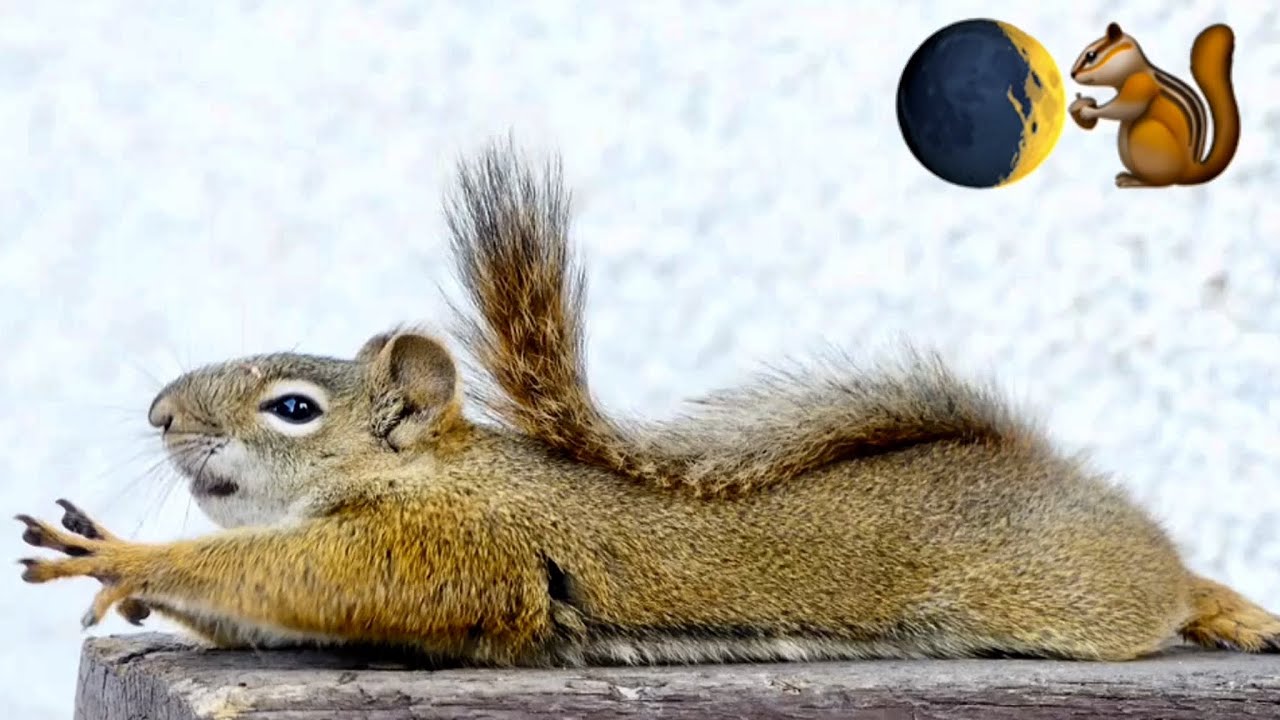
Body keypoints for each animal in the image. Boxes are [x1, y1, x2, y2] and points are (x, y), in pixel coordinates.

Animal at [16, 140, 1280, 665]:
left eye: (289, 409)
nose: (159, 416)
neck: (432, 467)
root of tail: (1041, 468)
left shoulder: (452, 548)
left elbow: (317, 578)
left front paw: (124, 557)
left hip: (1075, 596)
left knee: (1161, 586)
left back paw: (1224, 608)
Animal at [1068, 22, 1240, 188]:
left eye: (1091, 55)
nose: (1072, 74)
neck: (1136, 68)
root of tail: (1190, 169)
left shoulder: (1140, 83)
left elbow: (1124, 109)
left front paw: (1088, 111)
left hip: (1147, 133)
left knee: (1161, 183)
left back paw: (1135, 182)